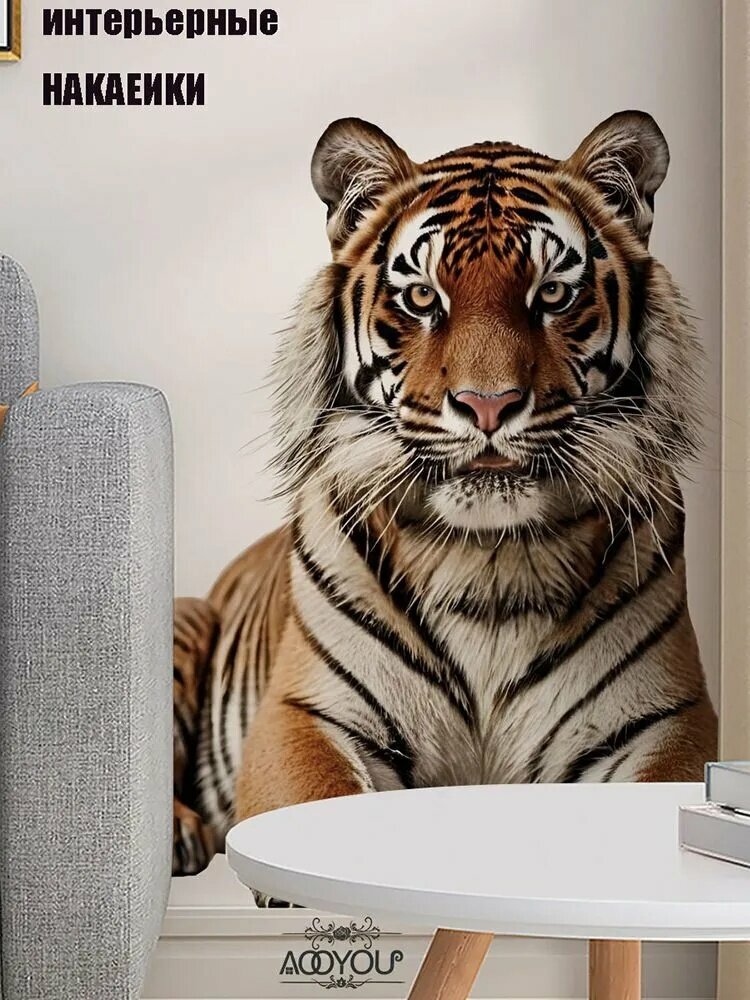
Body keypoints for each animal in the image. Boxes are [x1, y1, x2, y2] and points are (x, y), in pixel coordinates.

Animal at [173, 111, 718, 883]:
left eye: (554, 294)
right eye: (424, 297)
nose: (488, 405)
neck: (490, 560)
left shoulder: (667, 721)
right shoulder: (302, 714)